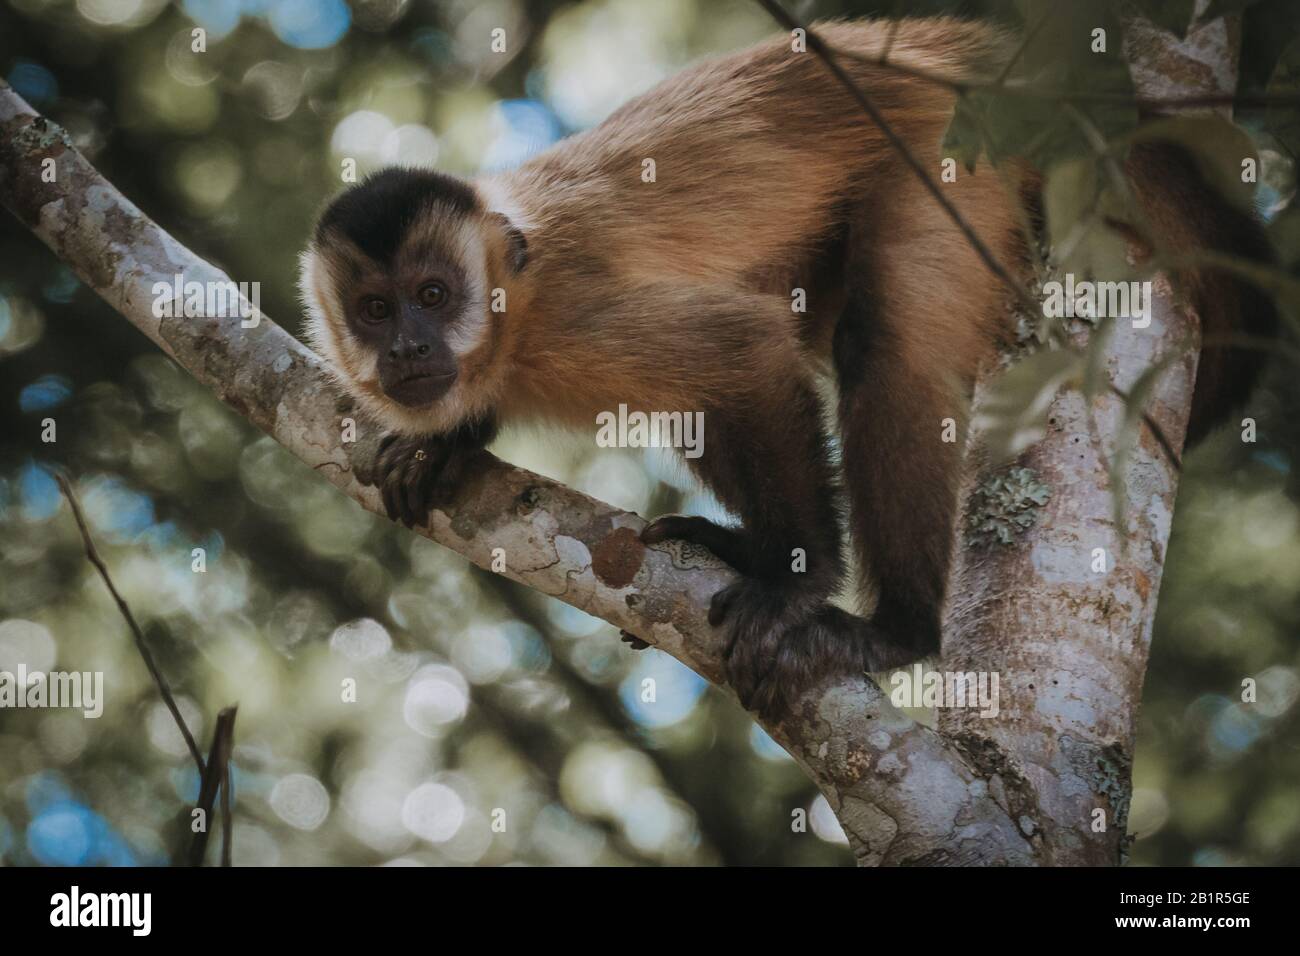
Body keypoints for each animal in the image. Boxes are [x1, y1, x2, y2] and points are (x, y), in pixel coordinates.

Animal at [298, 19, 1277, 718]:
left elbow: (747, 348)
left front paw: (796, 581)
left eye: (433, 294)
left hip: (950, 152)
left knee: (878, 342)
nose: (409, 348)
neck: (513, 317)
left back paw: (895, 629)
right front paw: (448, 444)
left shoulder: (573, 321)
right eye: (376, 310)